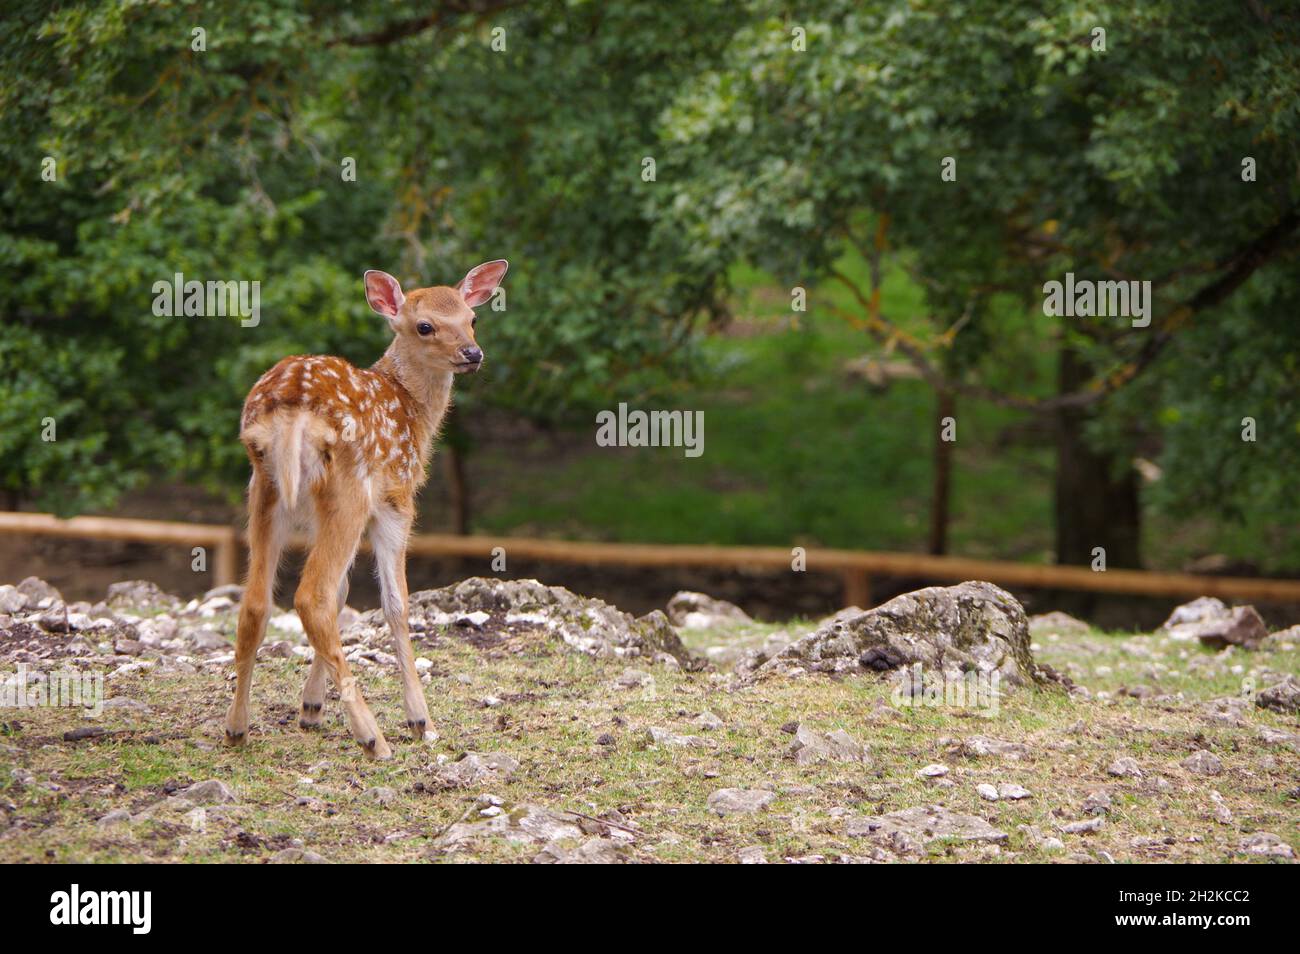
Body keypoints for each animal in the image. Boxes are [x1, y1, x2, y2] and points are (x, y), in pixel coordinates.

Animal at [224, 260, 508, 759]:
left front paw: (311, 708)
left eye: (472, 318)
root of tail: (291, 407)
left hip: (264, 491)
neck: (414, 415)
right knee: (310, 596)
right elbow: (394, 603)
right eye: (425, 326)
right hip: (349, 490)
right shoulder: (397, 501)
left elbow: (343, 595)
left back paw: (237, 727)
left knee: (257, 601)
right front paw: (420, 720)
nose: (472, 353)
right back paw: (373, 736)